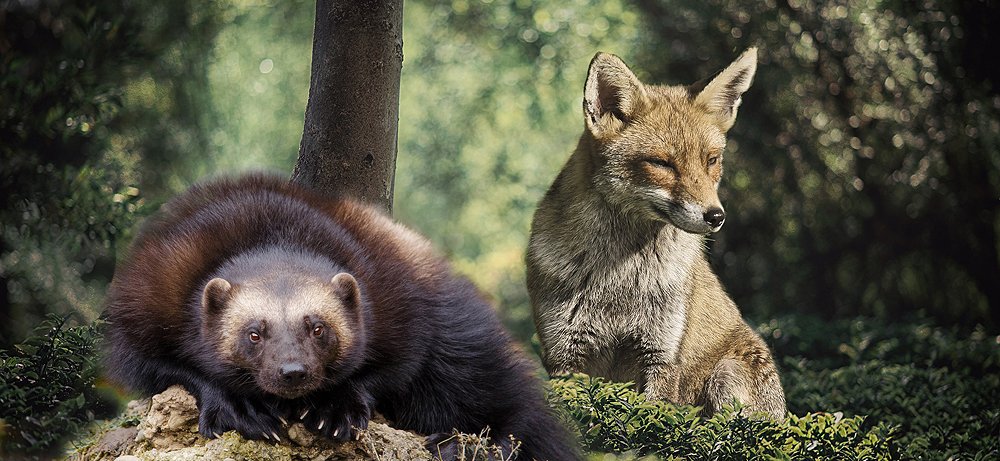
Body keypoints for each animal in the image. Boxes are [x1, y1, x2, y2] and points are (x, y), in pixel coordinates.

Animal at [526, 48, 785, 419]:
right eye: (661, 163)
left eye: (711, 160)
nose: (716, 217)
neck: (619, 280)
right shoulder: (565, 356)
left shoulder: (661, 354)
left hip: (726, 376)